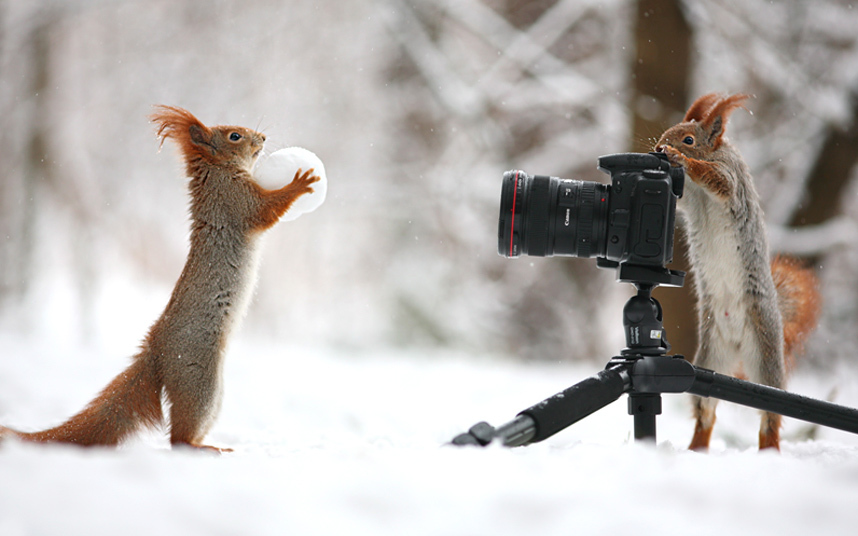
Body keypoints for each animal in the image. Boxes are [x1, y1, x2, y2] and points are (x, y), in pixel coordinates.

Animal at [0, 106, 320, 452]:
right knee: (178, 437)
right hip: (199, 378)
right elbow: (267, 209)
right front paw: (300, 183)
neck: (218, 172)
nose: (262, 137)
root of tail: (156, 349)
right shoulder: (235, 201)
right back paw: (203, 447)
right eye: (235, 136)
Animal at [655, 93, 820, 451]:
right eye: (666, 130)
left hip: (765, 355)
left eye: (689, 139)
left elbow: (717, 181)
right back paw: (695, 448)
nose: (659, 147)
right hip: (708, 357)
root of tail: (734, 342)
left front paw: (681, 159)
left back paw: (769, 450)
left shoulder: (729, 178)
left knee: (770, 413)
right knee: (706, 410)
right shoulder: (689, 199)